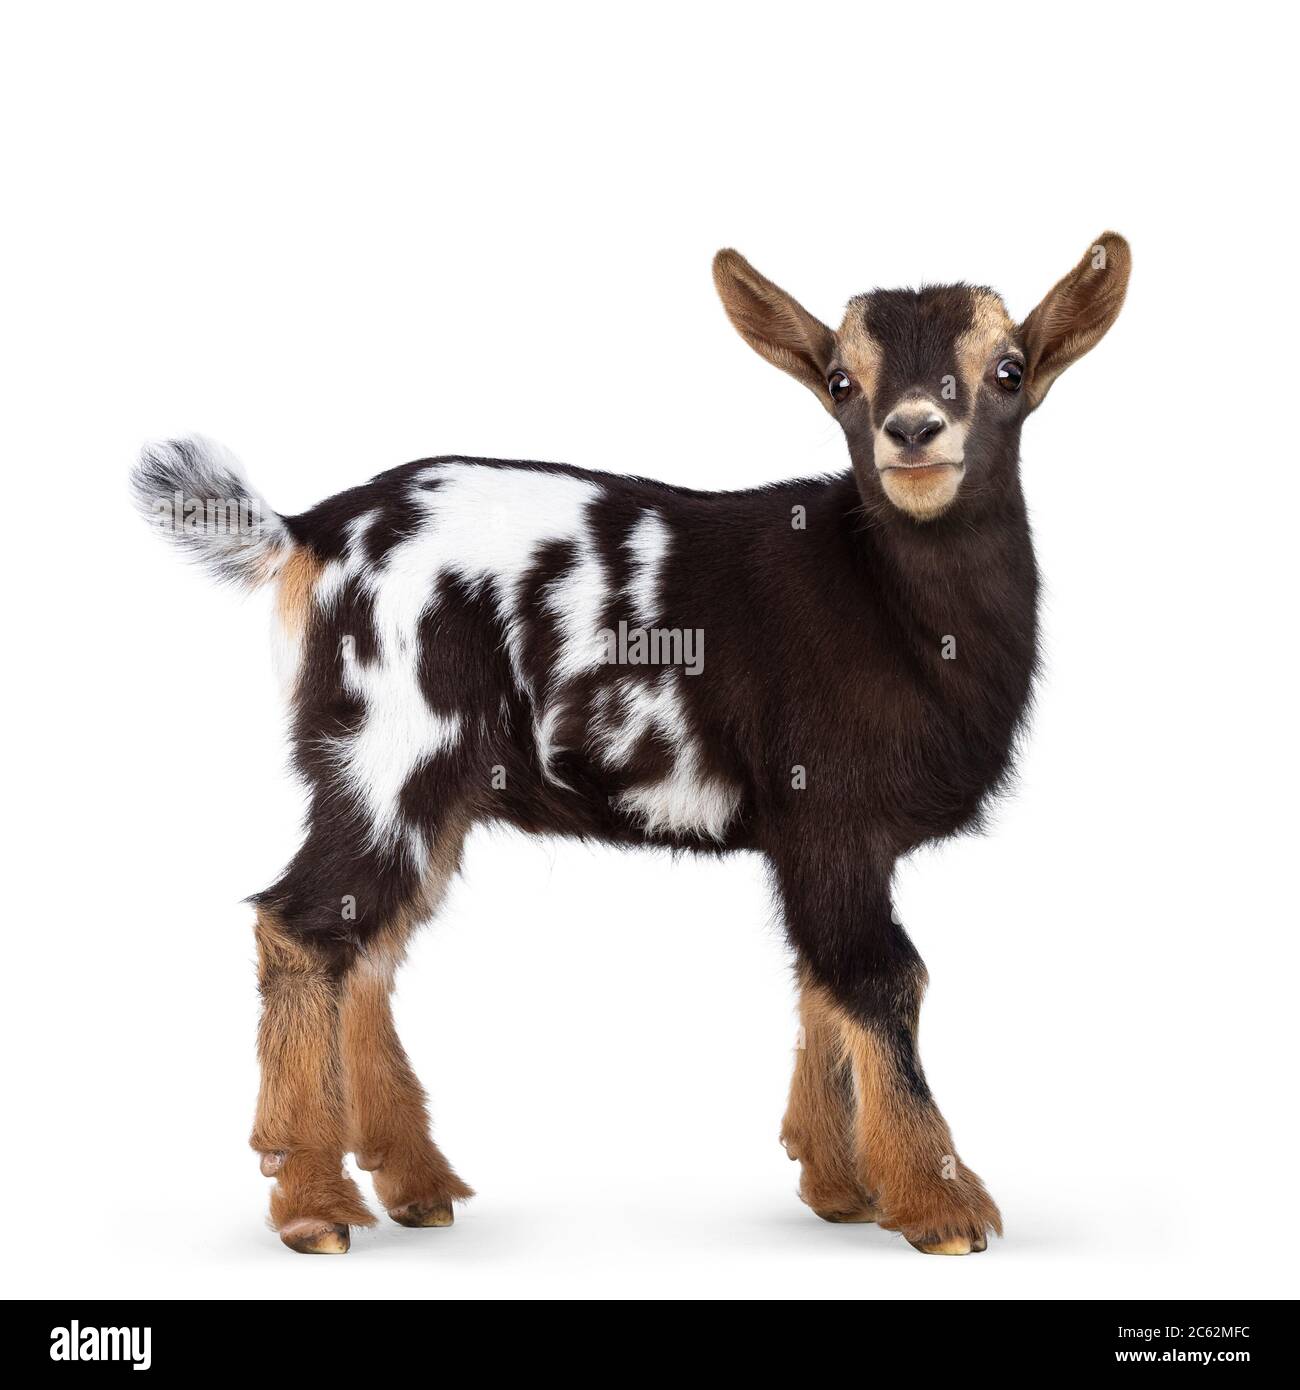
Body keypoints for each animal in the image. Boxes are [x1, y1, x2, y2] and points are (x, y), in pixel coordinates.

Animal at [131, 232, 1129, 1255]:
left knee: (368, 948)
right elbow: (880, 976)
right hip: (386, 754)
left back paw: (414, 1184)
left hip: (429, 788)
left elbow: (823, 973)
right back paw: (313, 1203)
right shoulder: (829, 812)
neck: (893, 607)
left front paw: (839, 1184)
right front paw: (939, 1204)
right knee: (300, 925)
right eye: (842, 381)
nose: (914, 431)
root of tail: (308, 533)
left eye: (1009, 371)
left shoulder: (818, 839)